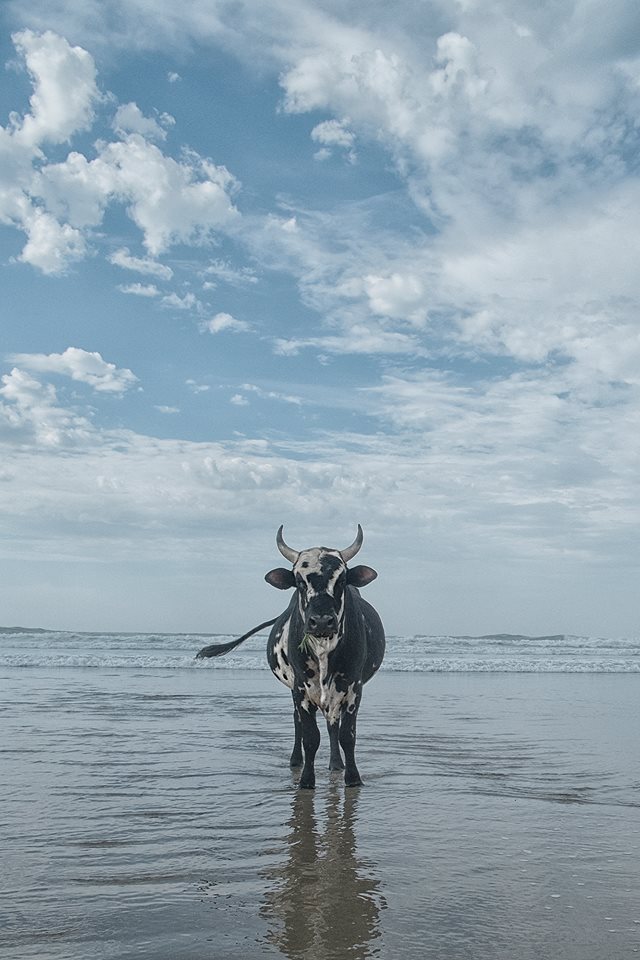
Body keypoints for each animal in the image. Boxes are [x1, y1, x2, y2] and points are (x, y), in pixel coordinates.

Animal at [196, 525, 385, 788]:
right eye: (298, 581)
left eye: (342, 579)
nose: (321, 621)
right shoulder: (300, 689)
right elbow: (310, 737)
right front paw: (306, 780)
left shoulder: (353, 688)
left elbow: (347, 736)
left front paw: (353, 778)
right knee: (298, 724)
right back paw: (296, 761)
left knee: (333, 726)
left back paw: (336, 764)